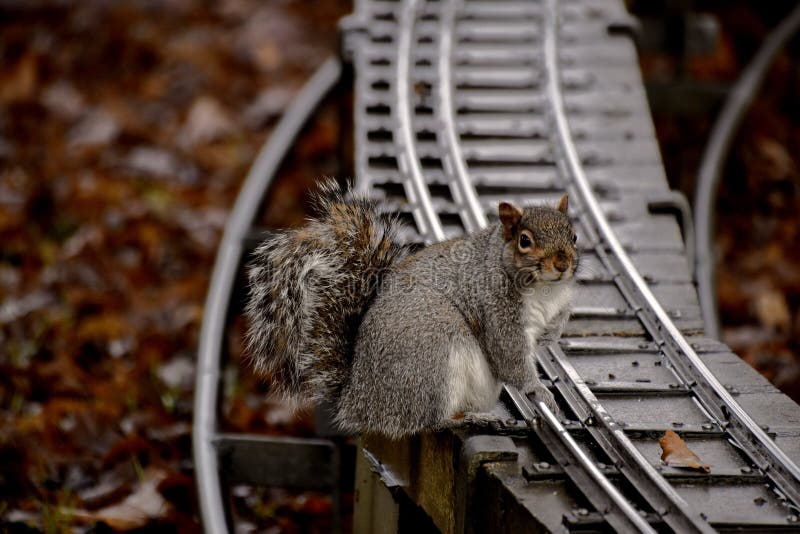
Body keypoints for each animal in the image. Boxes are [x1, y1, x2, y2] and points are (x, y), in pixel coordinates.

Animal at [245, 180, 578, 438]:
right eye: (525, 241)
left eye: (574, 235)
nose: (563, 264)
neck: (545, 289)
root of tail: (358, 399)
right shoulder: (496, 306)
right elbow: (510, 357)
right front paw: (539, 391)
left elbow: (555, 323)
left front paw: (551, 334)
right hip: (434, 358)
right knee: (431, 421)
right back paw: (474, 419)